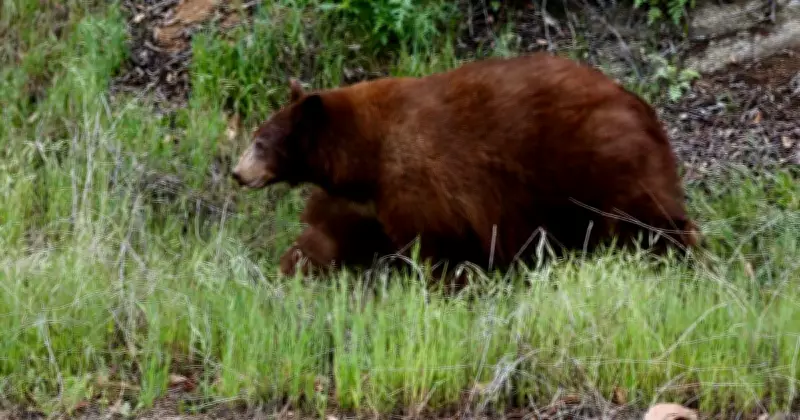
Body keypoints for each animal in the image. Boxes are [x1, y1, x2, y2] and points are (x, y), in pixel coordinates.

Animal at [232, 52, 700, 279]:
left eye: (260, 141)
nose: (237, 173)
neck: (365, 152)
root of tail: (640, 106)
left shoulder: (419, 181)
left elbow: (434, 243)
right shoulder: (360, 199)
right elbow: (329, 231)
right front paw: (295, 265)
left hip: (601, 159)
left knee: (648, 217)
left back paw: (678, 257)